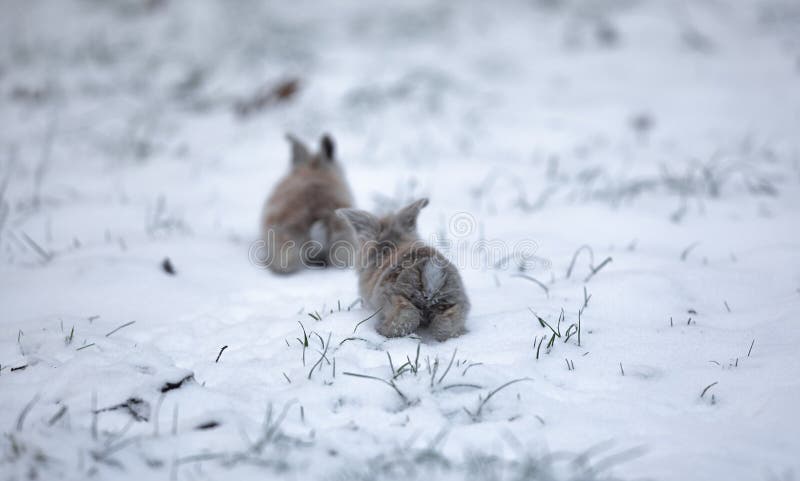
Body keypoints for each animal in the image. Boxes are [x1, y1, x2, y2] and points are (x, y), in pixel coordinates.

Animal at [336, 198, 470, 341]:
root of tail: (430, 272)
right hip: (451, 304)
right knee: (446, 325)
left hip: (395, 299)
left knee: (406, 317)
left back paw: (381, 331)